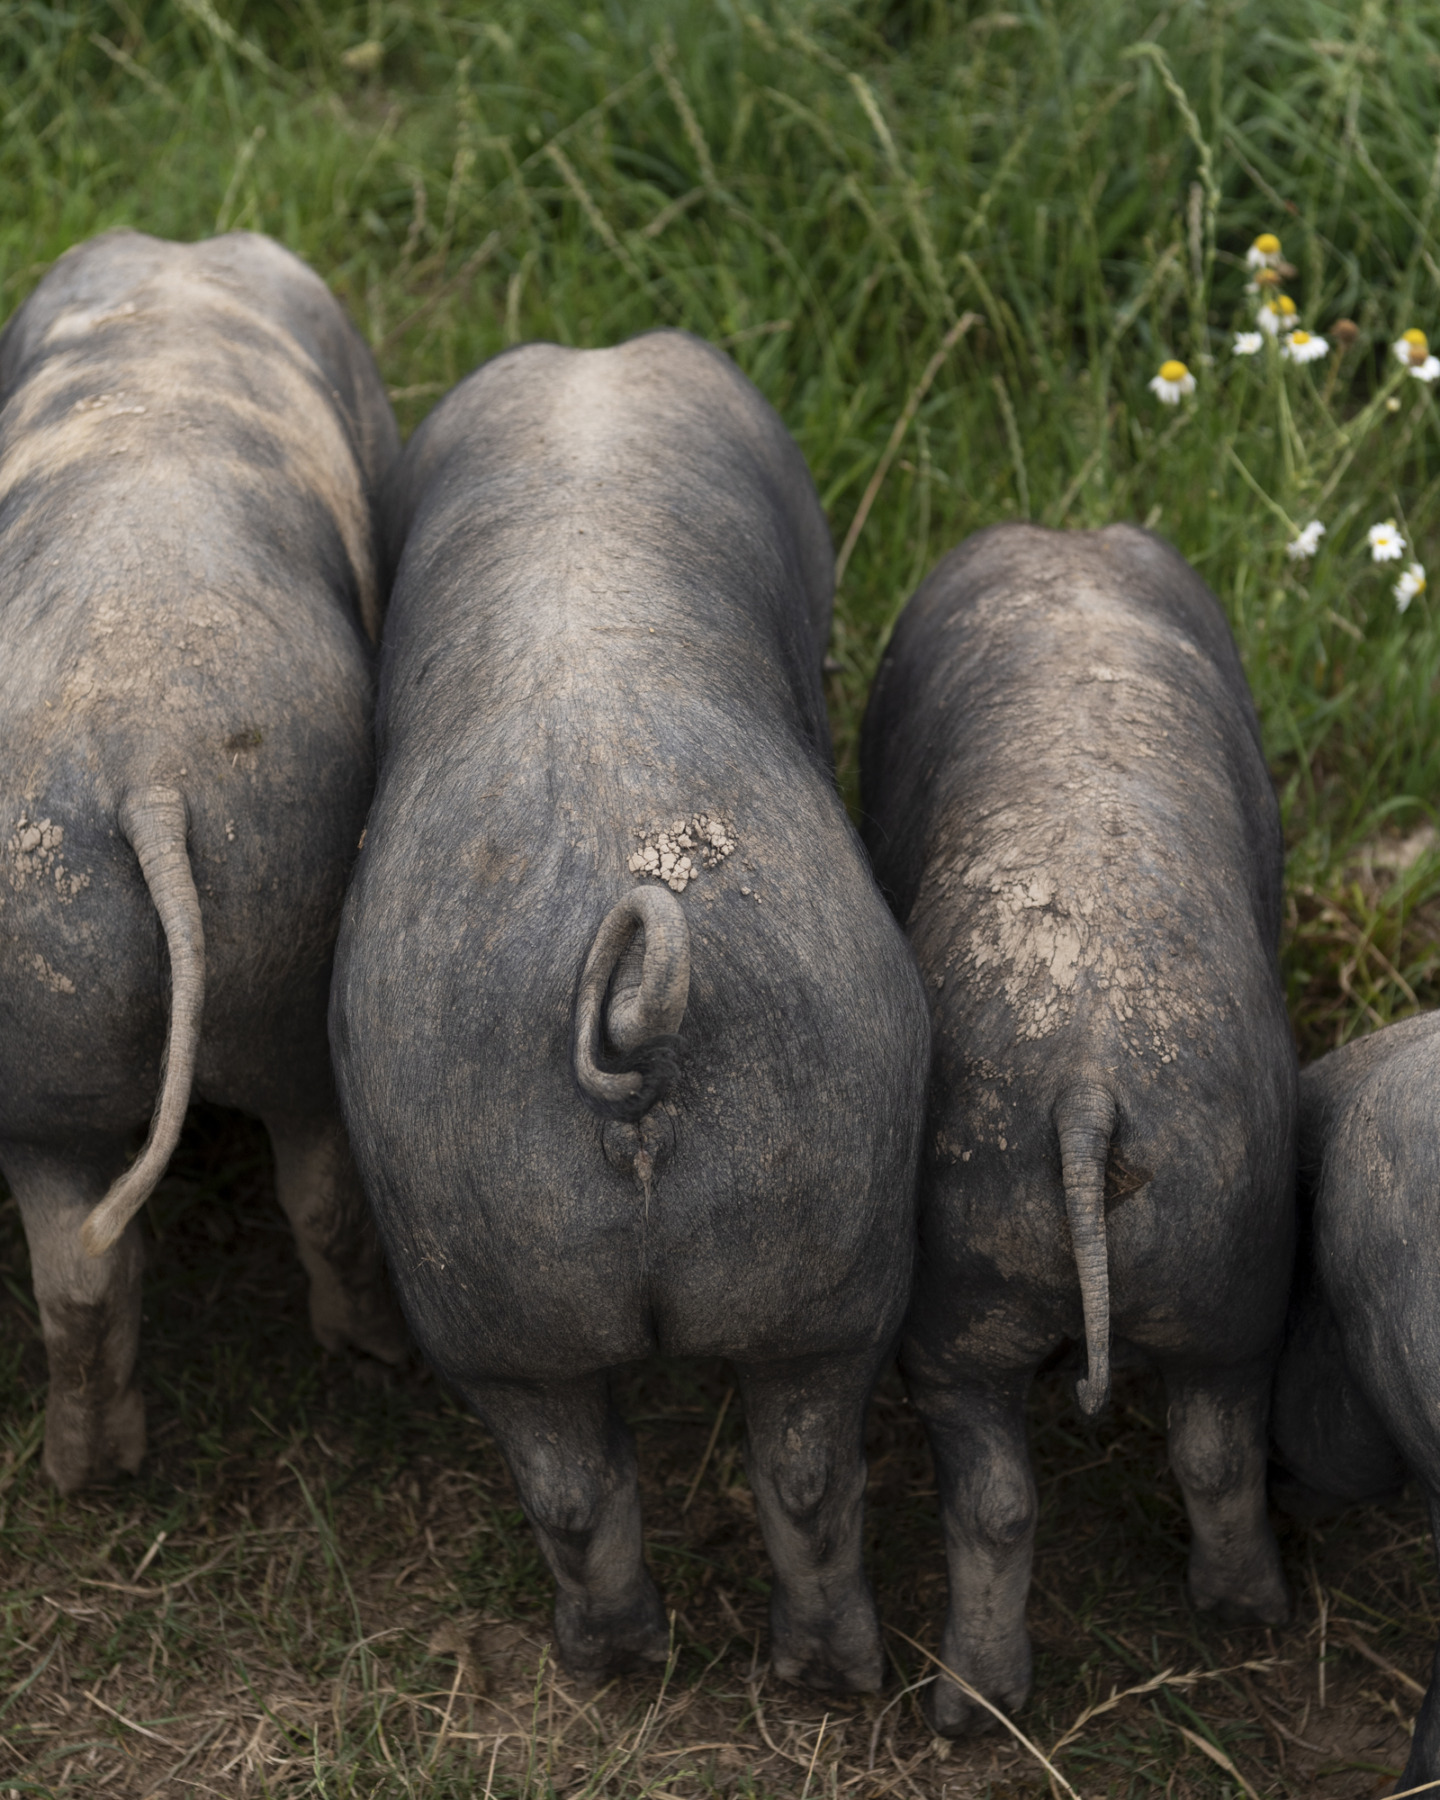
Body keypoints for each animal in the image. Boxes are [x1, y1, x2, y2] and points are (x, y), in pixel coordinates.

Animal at [0, 228, 406, 1494]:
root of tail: (146, 762)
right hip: (289, 926)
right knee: (319, 1186)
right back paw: (372, 1353)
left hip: (45, 1030)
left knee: (79, 1272)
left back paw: (84, 1473)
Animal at [330, 329, 930, 1689]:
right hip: (828, 1239)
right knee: (797, 1470)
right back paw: (812, 1673)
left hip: (499, 1264)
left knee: (591, 1485)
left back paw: (638, 1664)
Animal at [860, 522, 1296, 1733]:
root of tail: (1089, 1084)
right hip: (1215, 1257)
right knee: (1203, 1447)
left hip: (1002, 1267)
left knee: (1028, 1492)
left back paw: (977, 1712)